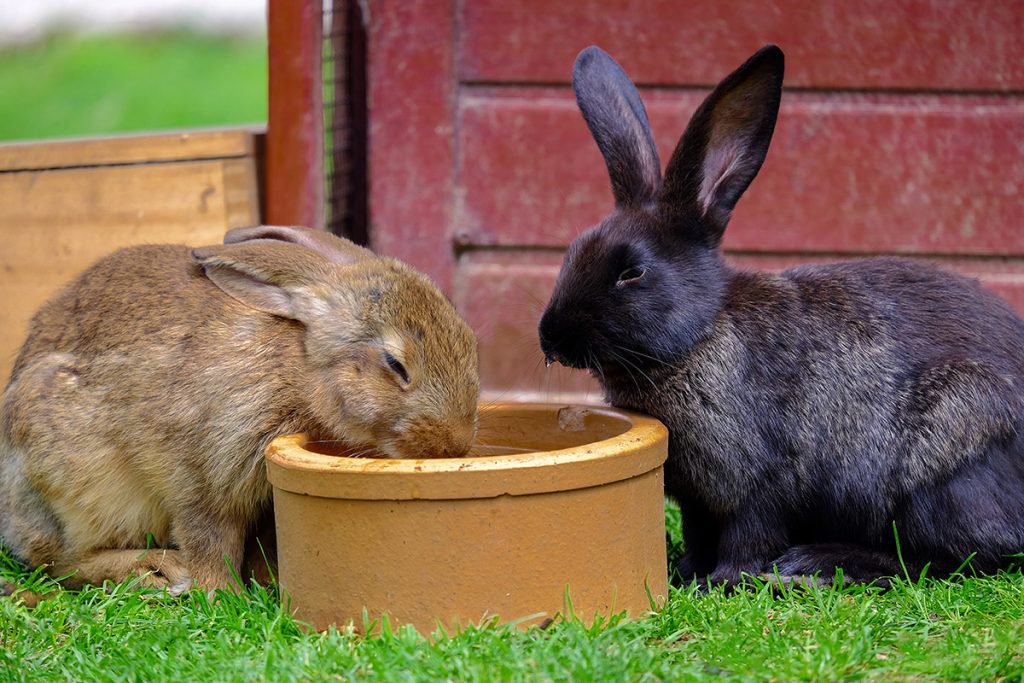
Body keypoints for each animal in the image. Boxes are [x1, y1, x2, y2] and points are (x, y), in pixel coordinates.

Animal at [0, 225, 480, 593]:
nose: (453, 445)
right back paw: (156, 570)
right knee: (57, 561)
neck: (298, 370)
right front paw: (222, 596)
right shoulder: (204, 473)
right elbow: (209, 538)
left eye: (469, 340)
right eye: (396, 365)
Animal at [538, 44, 1024, 588]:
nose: (551, 337)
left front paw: (724, 581)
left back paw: (815, 564)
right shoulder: (698, 501)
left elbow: (750, 534)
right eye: (573, 251)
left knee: (953, 558)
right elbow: (700, 533)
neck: (701, 335)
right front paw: (687, 573)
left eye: (632, 272)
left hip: (944, 463)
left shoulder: (764, 481)